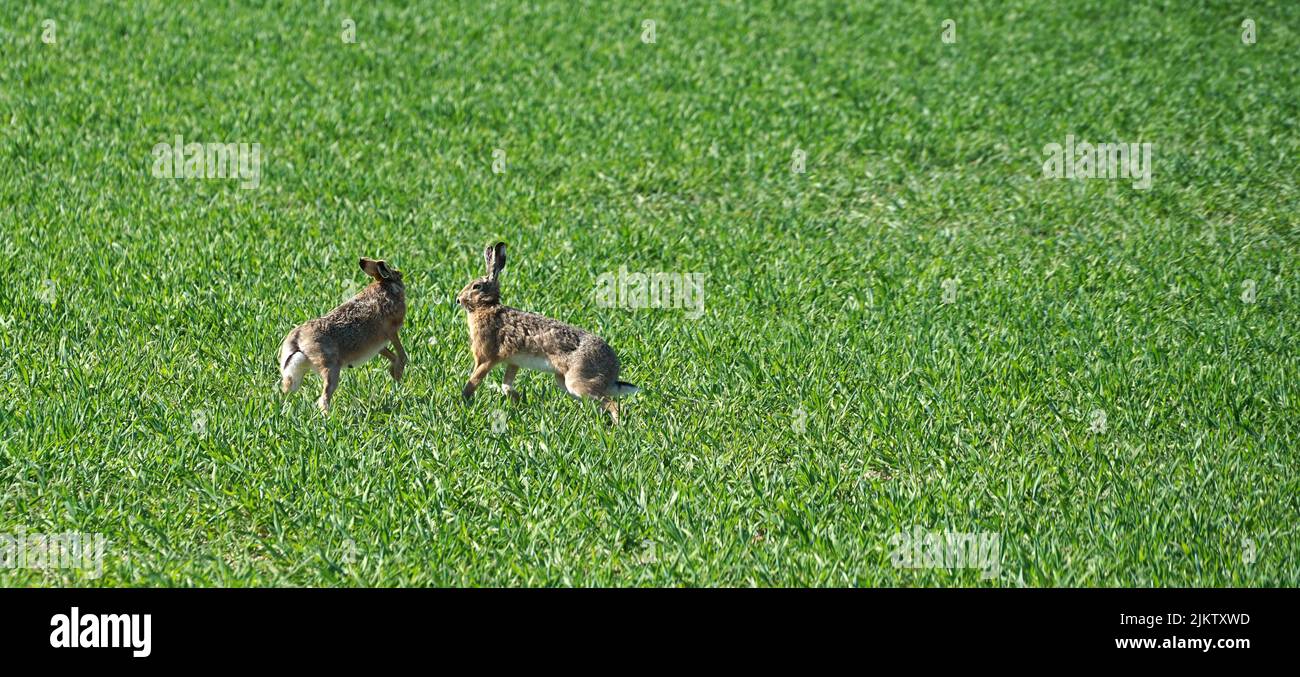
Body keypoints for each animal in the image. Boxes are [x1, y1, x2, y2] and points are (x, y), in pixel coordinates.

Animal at [278, 257, 407, 414]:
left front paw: (394, 373)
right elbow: (400, 352)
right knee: (323, 398)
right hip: (331, 367)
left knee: (287, 390)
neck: (386, 286)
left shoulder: (377, 344)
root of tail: (297, 339)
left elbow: (390, 354)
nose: (401, 274)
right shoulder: (391, 331)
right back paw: (329, 416)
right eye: (395, 273)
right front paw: (399, 372)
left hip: (295, 371)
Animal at [456, 242, 637, 424]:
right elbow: (506, 384)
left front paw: (463, 400)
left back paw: (618, 425)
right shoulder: (513, 361)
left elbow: (473, 381)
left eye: (476, 286)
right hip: (564, 382)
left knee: (612, 404)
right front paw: (517, 400)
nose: (457, 299)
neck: (486, 307)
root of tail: (613, 370)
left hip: (577, 382)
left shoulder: (486, 358)